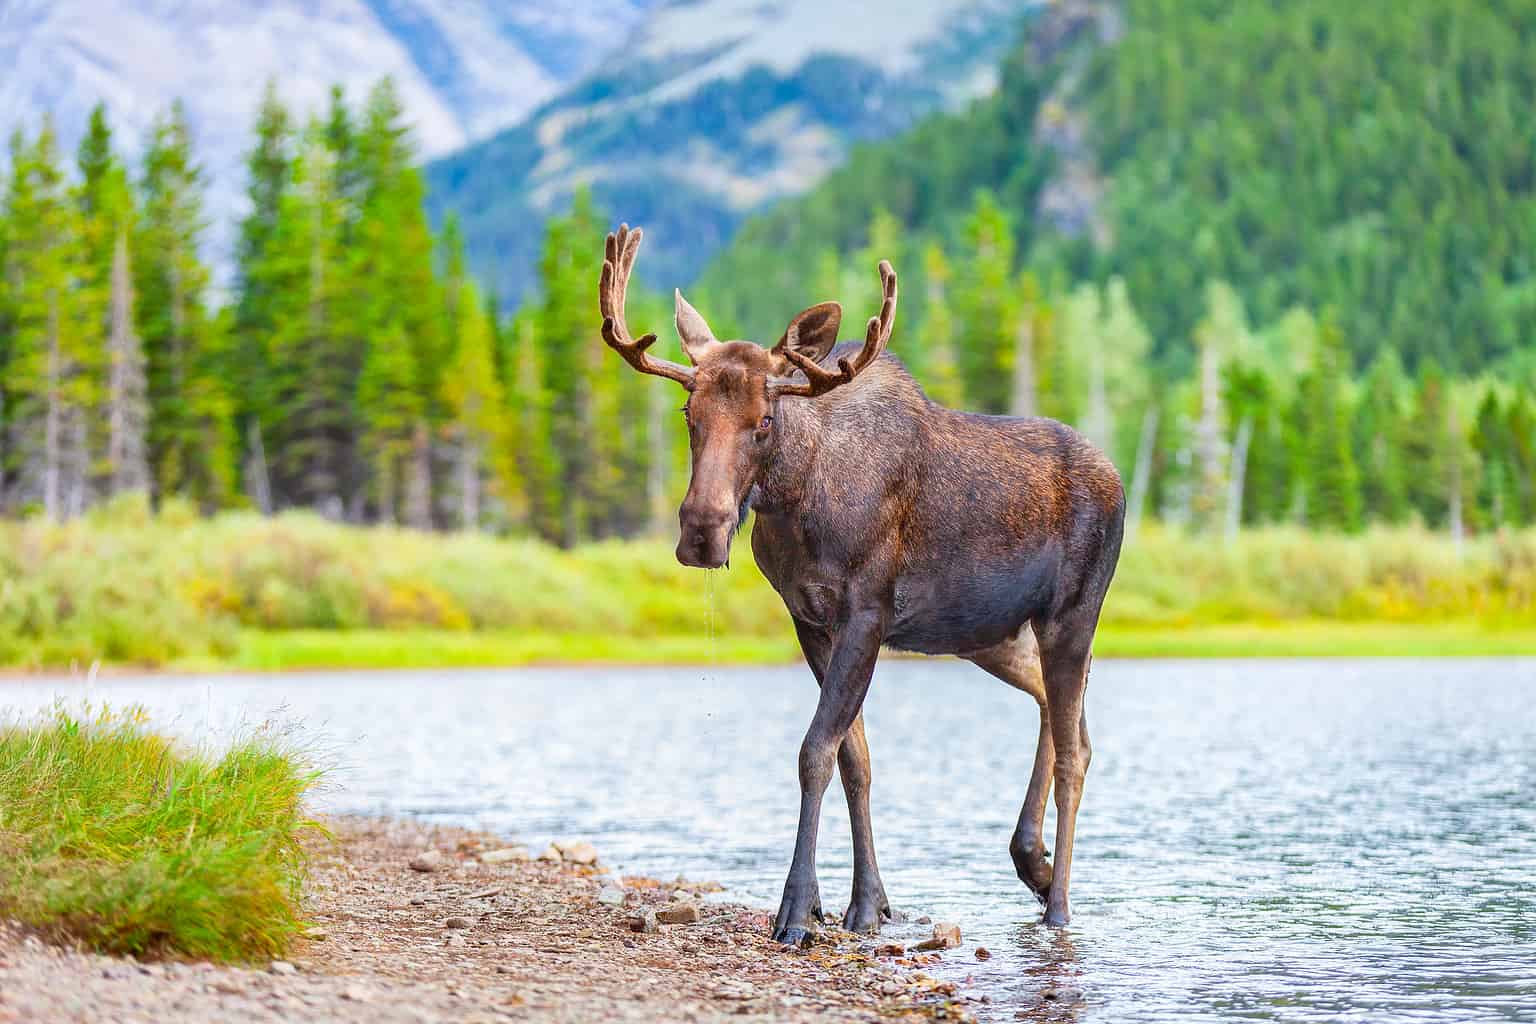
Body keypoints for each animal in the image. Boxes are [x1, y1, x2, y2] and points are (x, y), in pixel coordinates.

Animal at [598, 224, 1125, 942]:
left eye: (765, 420)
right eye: (688, 412)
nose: (702, 529)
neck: (795, 503)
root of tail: (1121, 481)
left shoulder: (866, 614)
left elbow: (815, 751)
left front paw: (797, 909)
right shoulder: (809, 620)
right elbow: (856, 759)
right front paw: (866, 902)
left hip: (1073, 614)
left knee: (1075, 751)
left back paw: (1061, 904)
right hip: (993, 635)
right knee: (1065, 717)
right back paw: (1034, 864)